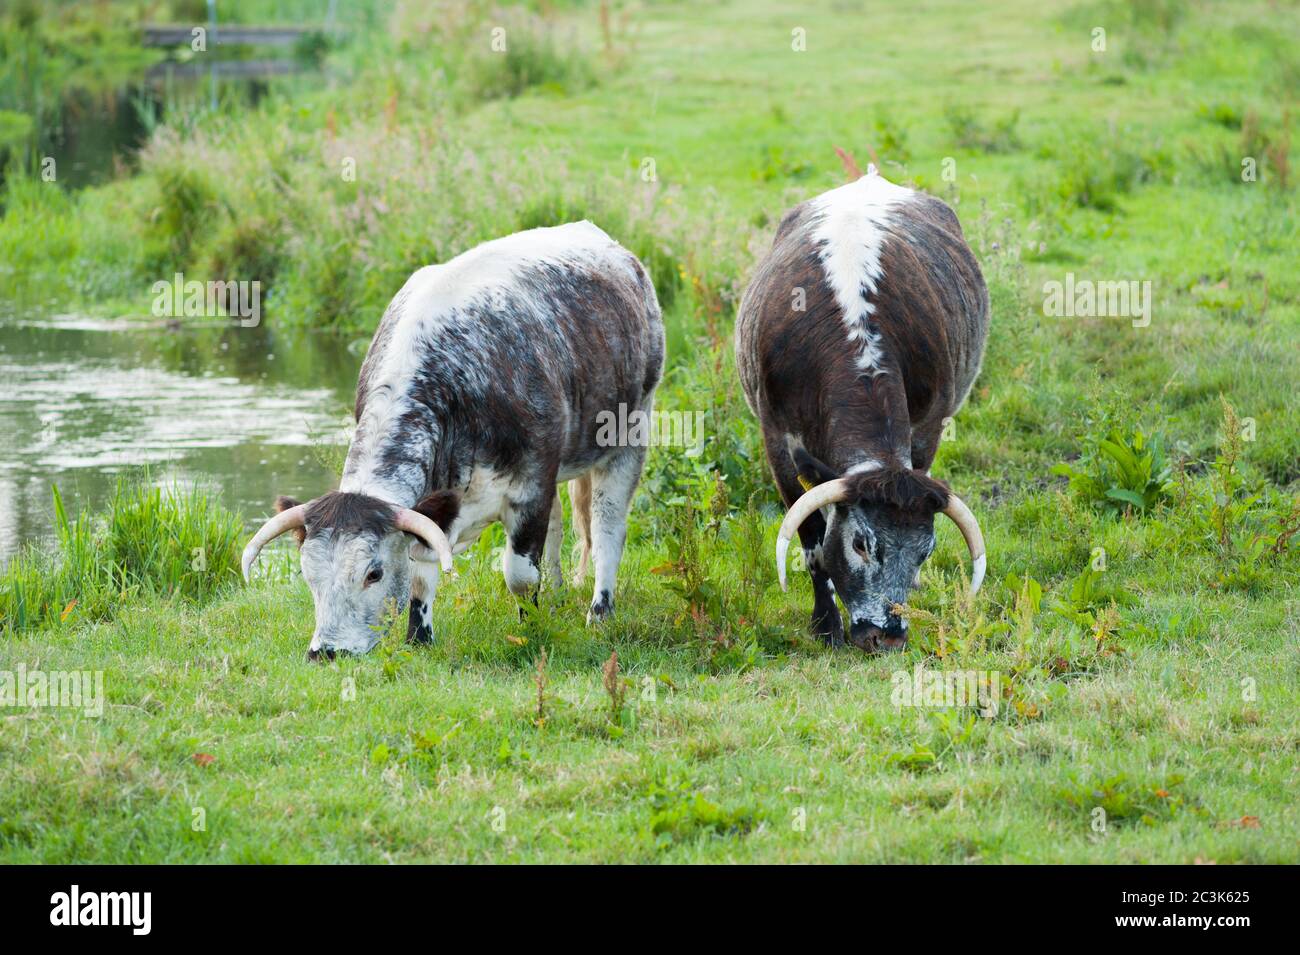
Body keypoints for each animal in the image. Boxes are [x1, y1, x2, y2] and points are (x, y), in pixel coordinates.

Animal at [241, 222, 665, 659]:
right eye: (308, 573)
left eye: (373, 573)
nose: (326, 651)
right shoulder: (439, 507)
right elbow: (420, 572)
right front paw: (419, 637)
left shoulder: (531, 486)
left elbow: (520, 574)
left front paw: (531, 631)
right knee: (560, 522)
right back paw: (559, 593)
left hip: (631, 432)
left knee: (607, 523)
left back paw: (600, 612)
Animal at [734, 166, 988, 652]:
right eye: (861, 545)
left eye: (925, 550)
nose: (885, 636)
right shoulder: (777, 440)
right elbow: (812, 540)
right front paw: (825, 624)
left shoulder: (927, 431)